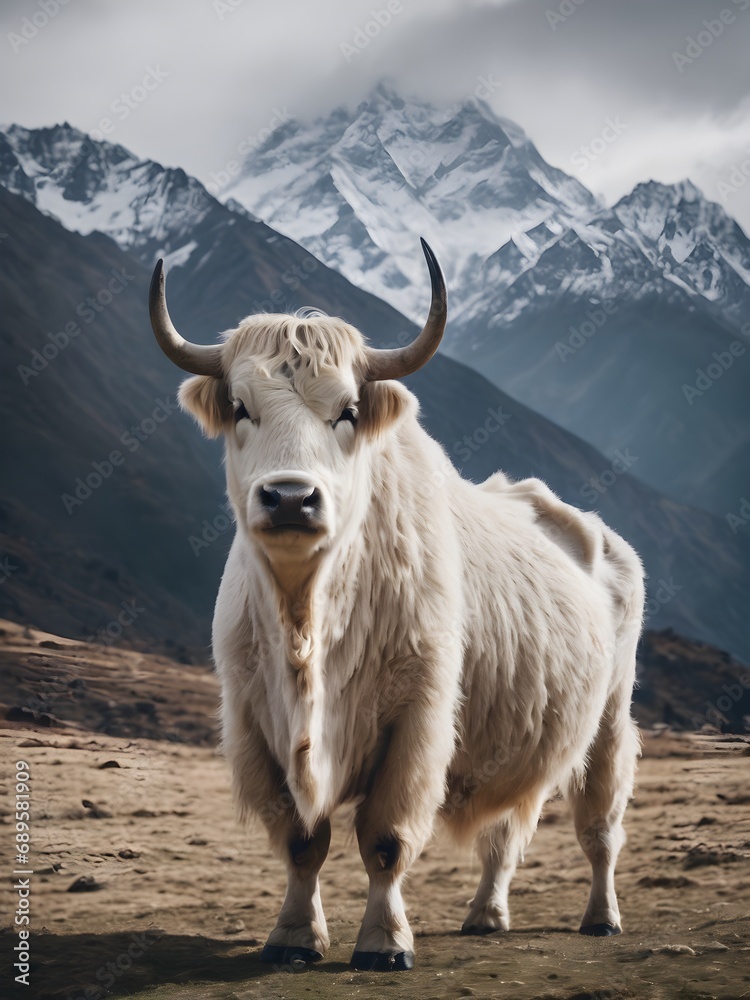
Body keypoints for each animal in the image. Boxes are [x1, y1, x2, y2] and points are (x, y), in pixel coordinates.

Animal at [149, 239, 644, 972]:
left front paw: (384, 943)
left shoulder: (417, 722)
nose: (290, 497)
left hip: (610, 715)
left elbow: (384, 840)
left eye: (348, 411)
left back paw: (602, 918)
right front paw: (293, 937)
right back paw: (486, 915)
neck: (307, 620)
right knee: (505, 831)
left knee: (600, 826)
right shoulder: (254, 724)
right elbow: (301, 841)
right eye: (240, 407)